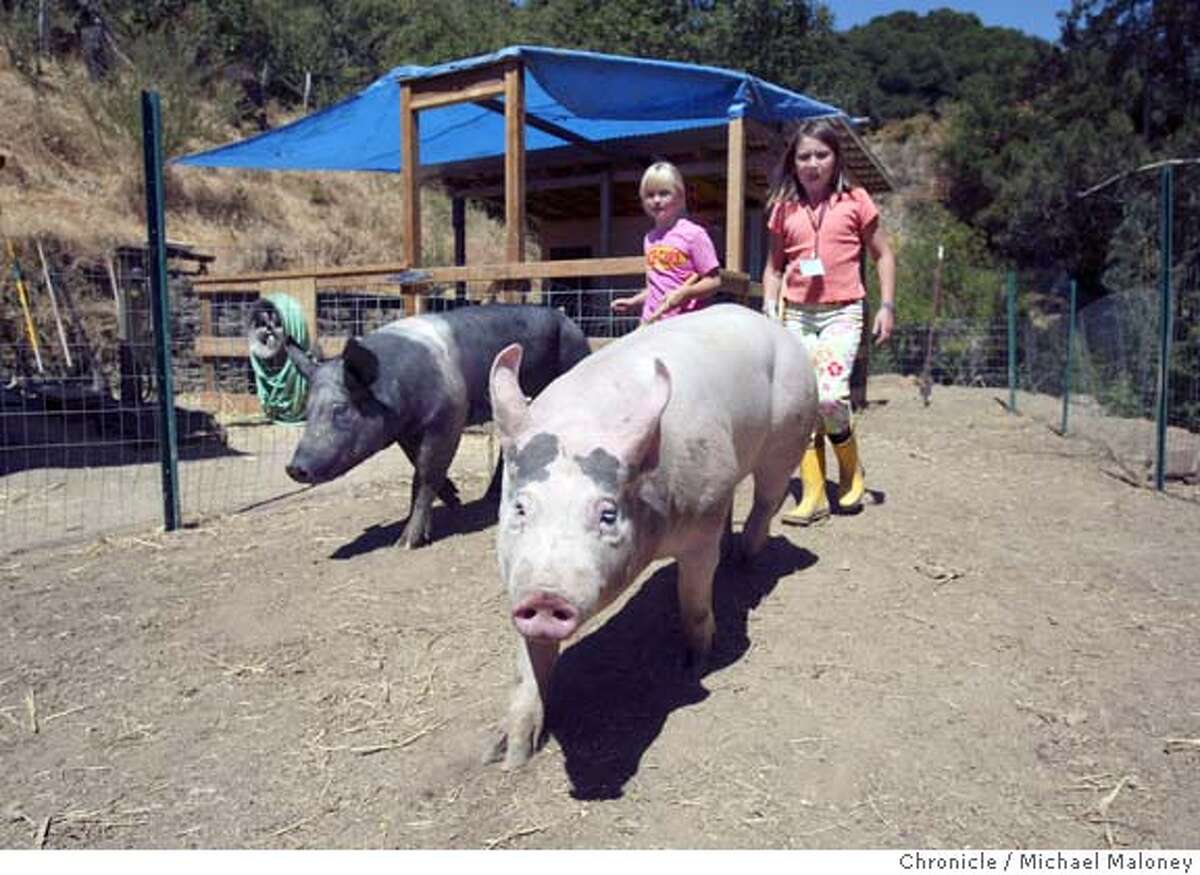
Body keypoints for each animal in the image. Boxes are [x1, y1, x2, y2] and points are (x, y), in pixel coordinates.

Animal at [279, 303, 591, 548]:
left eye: (340, 409)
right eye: (307, 409)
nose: (294, 468)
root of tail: (568, 320)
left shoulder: (449, 416)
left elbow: (427, 472)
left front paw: (405, 543)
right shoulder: (407, 430)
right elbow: (416, 466)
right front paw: (454, 499)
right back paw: (490, 496)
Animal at [486, 303, 819, 768]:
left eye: (607, 514)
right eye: (520, 508)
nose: (546, 597)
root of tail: (772, 326)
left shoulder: (700, 523)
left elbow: (694, 596)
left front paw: (694, 662)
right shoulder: (515, 575)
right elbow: (531, 659)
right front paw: (508, 754)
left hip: (790, 432)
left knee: (766, 501)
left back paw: (744, 560)